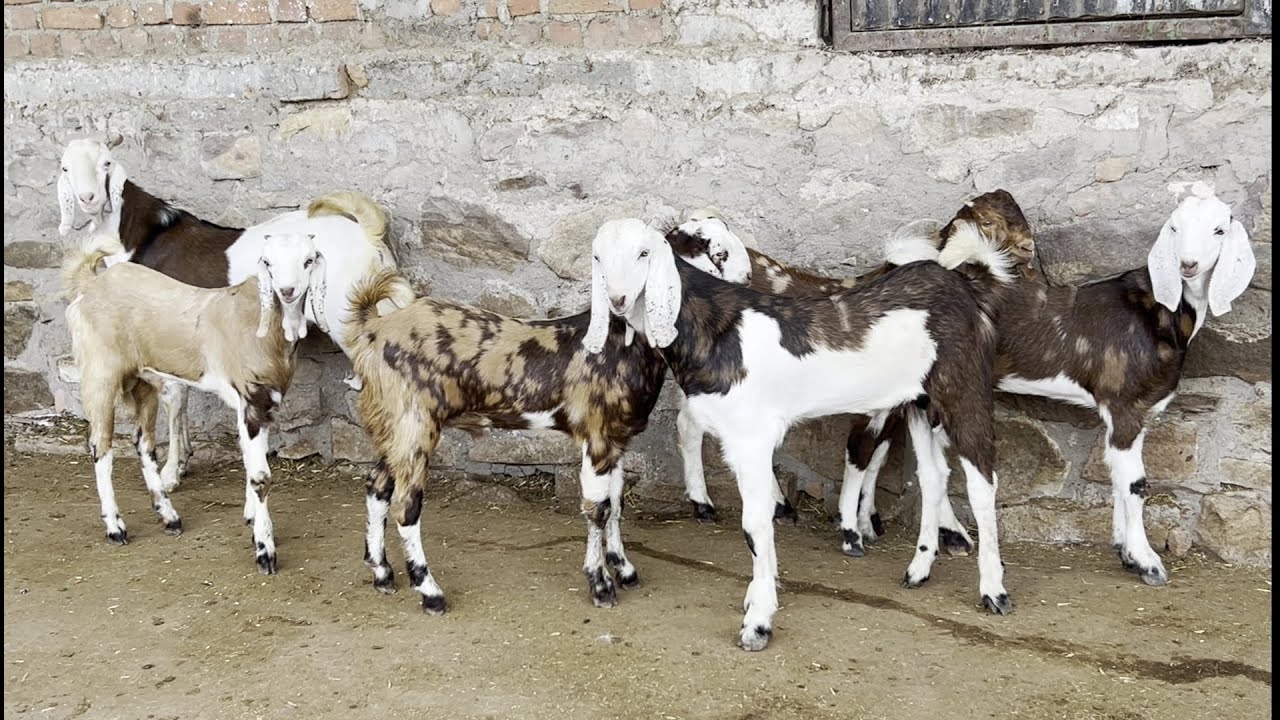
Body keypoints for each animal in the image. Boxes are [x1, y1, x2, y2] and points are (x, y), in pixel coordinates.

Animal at [57, 138, 397, 491]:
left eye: (106, 163)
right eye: (65, 167)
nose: (88, 198)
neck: (141, 238)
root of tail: (368, 232)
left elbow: (174, 400)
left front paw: (169, 474)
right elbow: (182, 399)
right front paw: (183, 462)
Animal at [62, 231, 329, 574]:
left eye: (308, 260)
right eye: (268, 262)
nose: (287, 291)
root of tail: (89, 284)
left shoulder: (264, 404)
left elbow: (251, 463)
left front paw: (252, 519)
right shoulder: (251, 399)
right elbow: (260, 477)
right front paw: (264, 550)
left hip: (143, 380)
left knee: (143, 443)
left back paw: (169, 517)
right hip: (100, 373)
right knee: (101, 445)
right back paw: (115, 527)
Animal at [343, 270, 672, 614]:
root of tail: (374, 329)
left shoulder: (617, 441)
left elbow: (617, 505)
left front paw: (624, 568)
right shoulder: (597, 437)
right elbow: (598, 510)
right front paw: (600, 584)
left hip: (395, 433)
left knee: (377, 486)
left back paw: (382, 572)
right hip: (414, 428)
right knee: (406, 506)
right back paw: (430, 591)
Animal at [585, 217, 1017, 651]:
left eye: (644, 253)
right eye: (597, 257)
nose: (619, 299)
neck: (716, 328)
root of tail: (957, 285)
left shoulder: (752, 438)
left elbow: (754, 525)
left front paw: (758, 622)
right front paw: (759, 598)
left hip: (963, 389)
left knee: (982, 483)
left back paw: (994, 590)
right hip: (919, 402)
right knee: (933, 476)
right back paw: (920, 568)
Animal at [664, 192, 1036, 562]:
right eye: (986, 222)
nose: (1029, 247)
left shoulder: (897, 404)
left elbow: (881, 457)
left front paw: (870, 519)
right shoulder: (873, 407)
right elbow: (860, 453)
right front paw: (853, 531)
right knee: (690, 424)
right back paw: (707, 502)